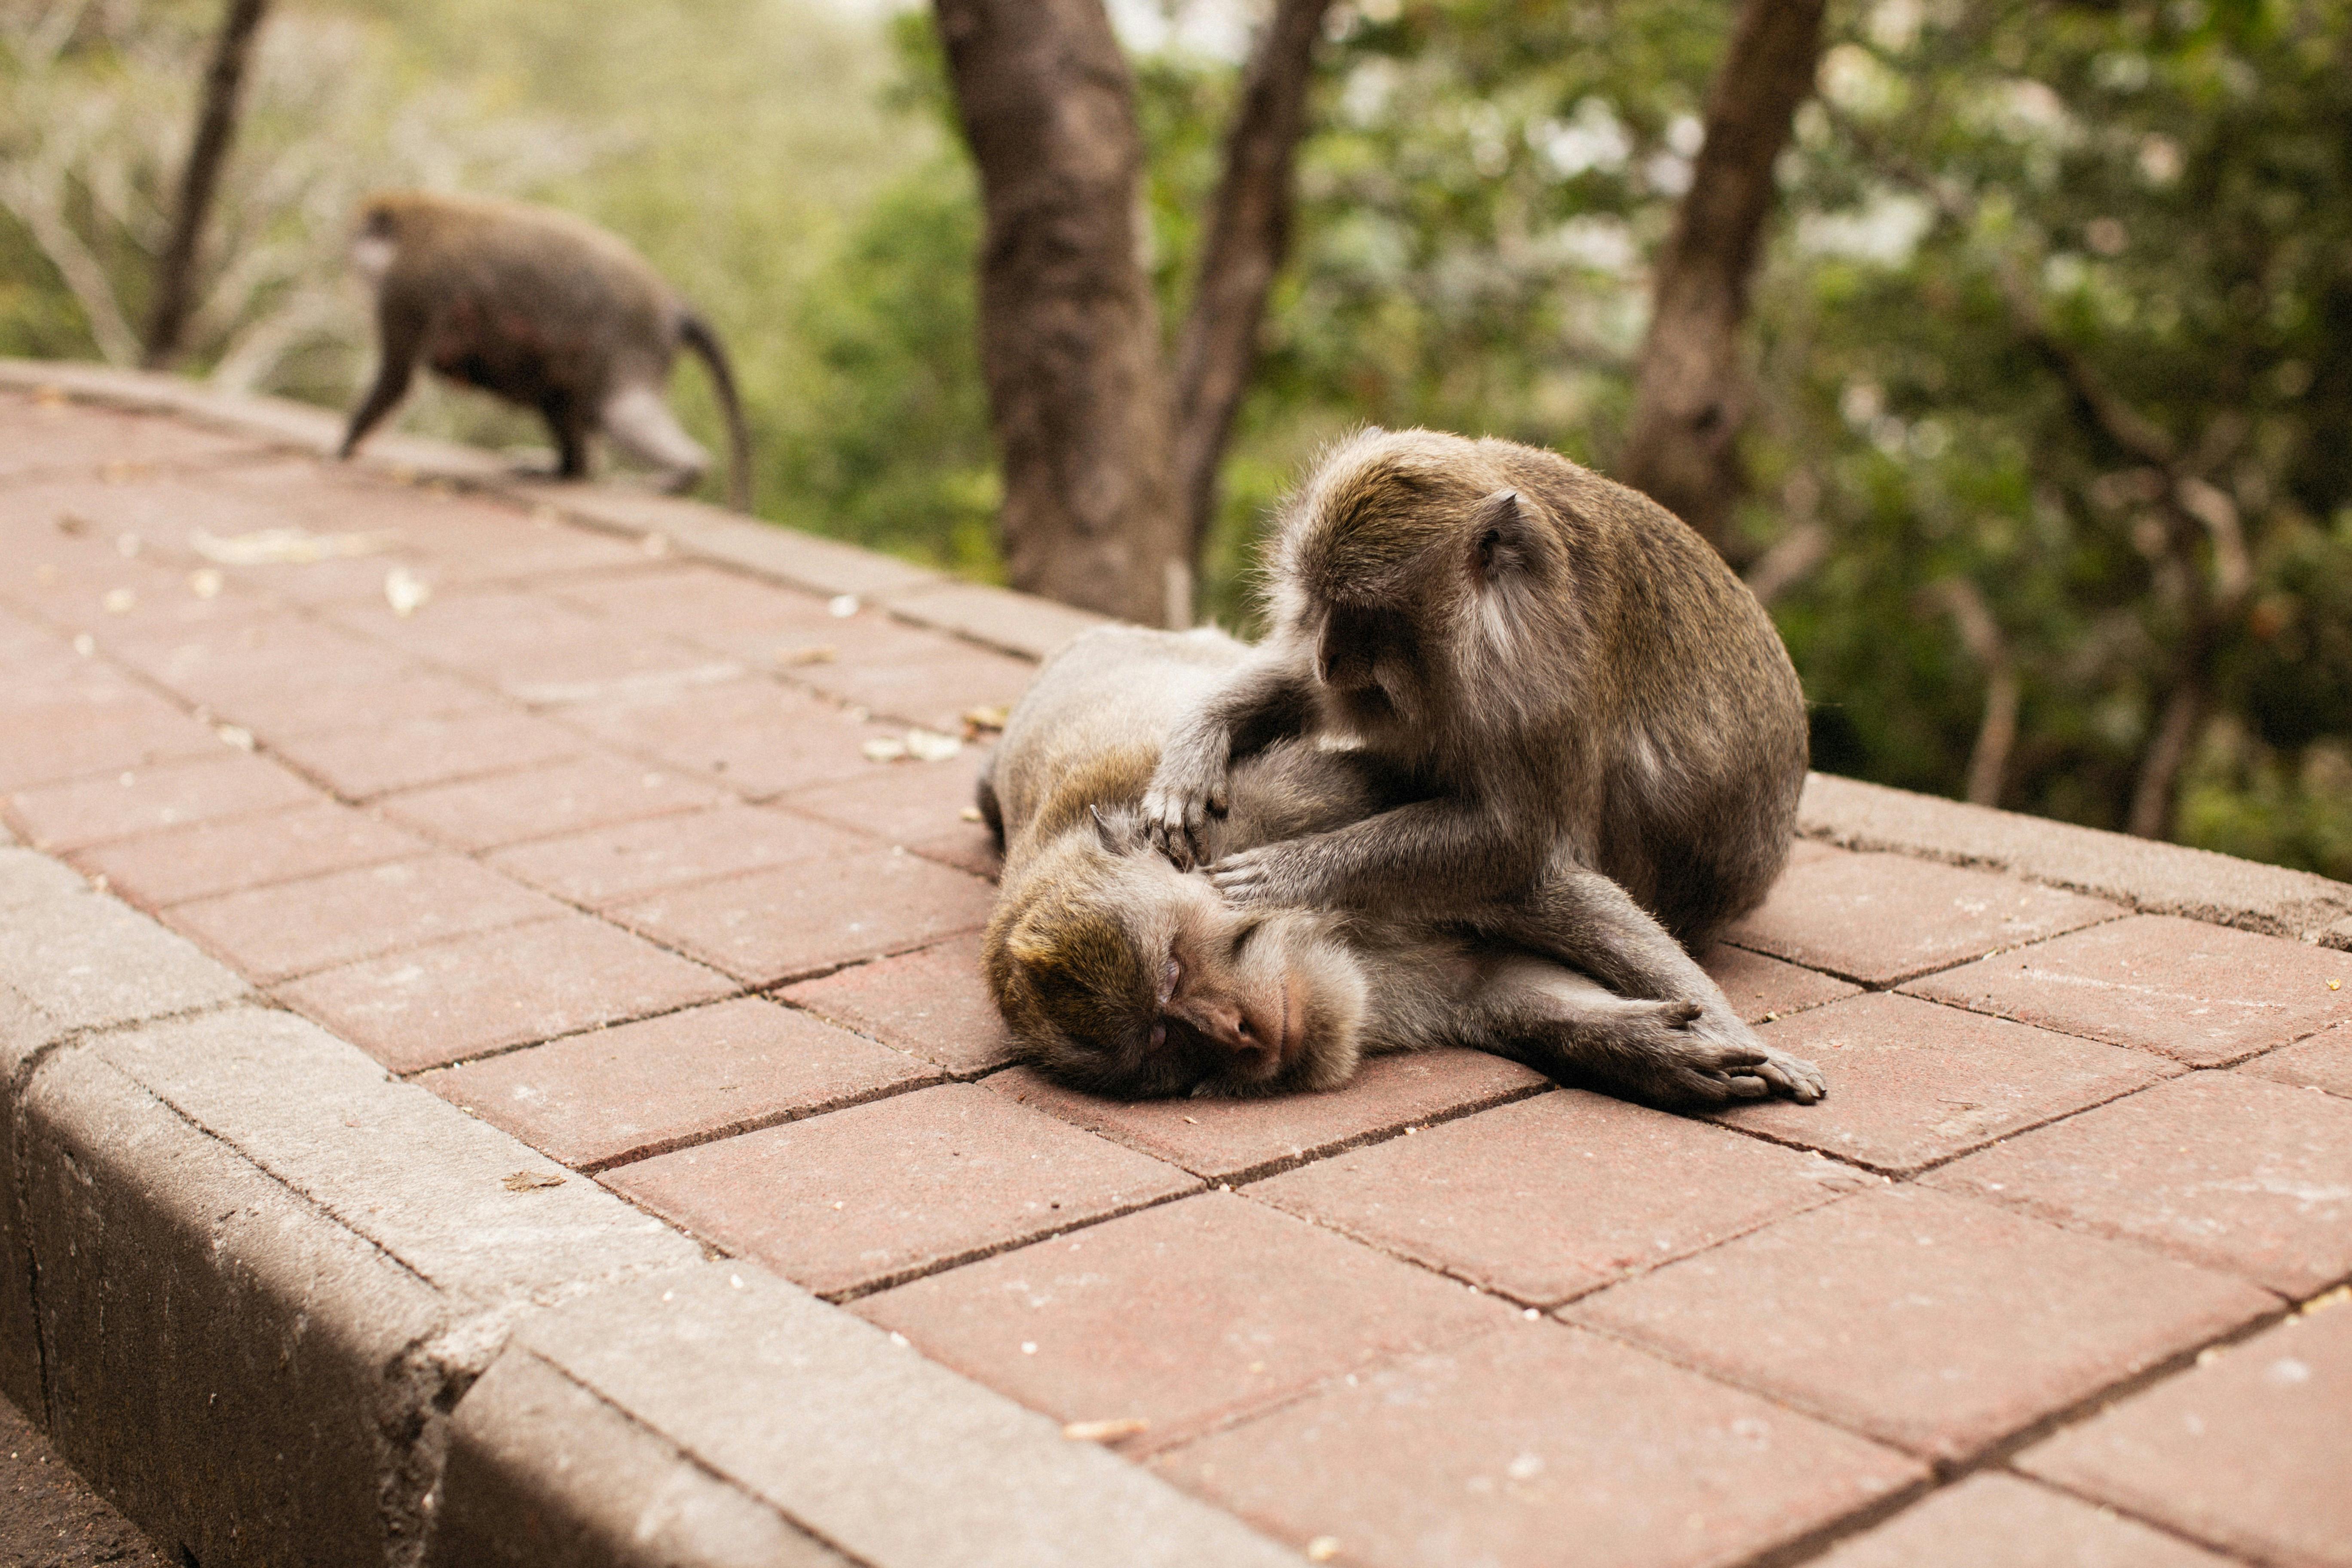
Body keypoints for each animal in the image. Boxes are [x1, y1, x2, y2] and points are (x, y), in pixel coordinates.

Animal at [339, 192, 752, 510]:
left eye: (359, 238)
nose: (351, 261)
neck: (411, 229)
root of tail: (669, 303)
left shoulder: (405, 292)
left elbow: (397, 380)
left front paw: (344, 447)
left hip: (631, 343)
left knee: (620, 412)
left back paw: (685, 470)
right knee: (556, 393)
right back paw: (568, 469)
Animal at [979, 624, 1822, 1106]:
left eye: (1173, 970)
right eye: (1165, 1044)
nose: (1239, 1033)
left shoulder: (1296, 802)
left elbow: (1520, 870)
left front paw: (1736, 1034)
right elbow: (1492, 985)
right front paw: (1641, 1048)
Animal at [1136, 428, 1819, 1098]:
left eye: (1366, 613)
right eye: (1320, 601)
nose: (1329, 656)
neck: (1485, 614)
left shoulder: (1539, 676)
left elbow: (1515, 842)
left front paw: (1286, 872)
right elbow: (1292, 684)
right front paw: (1190, 761)